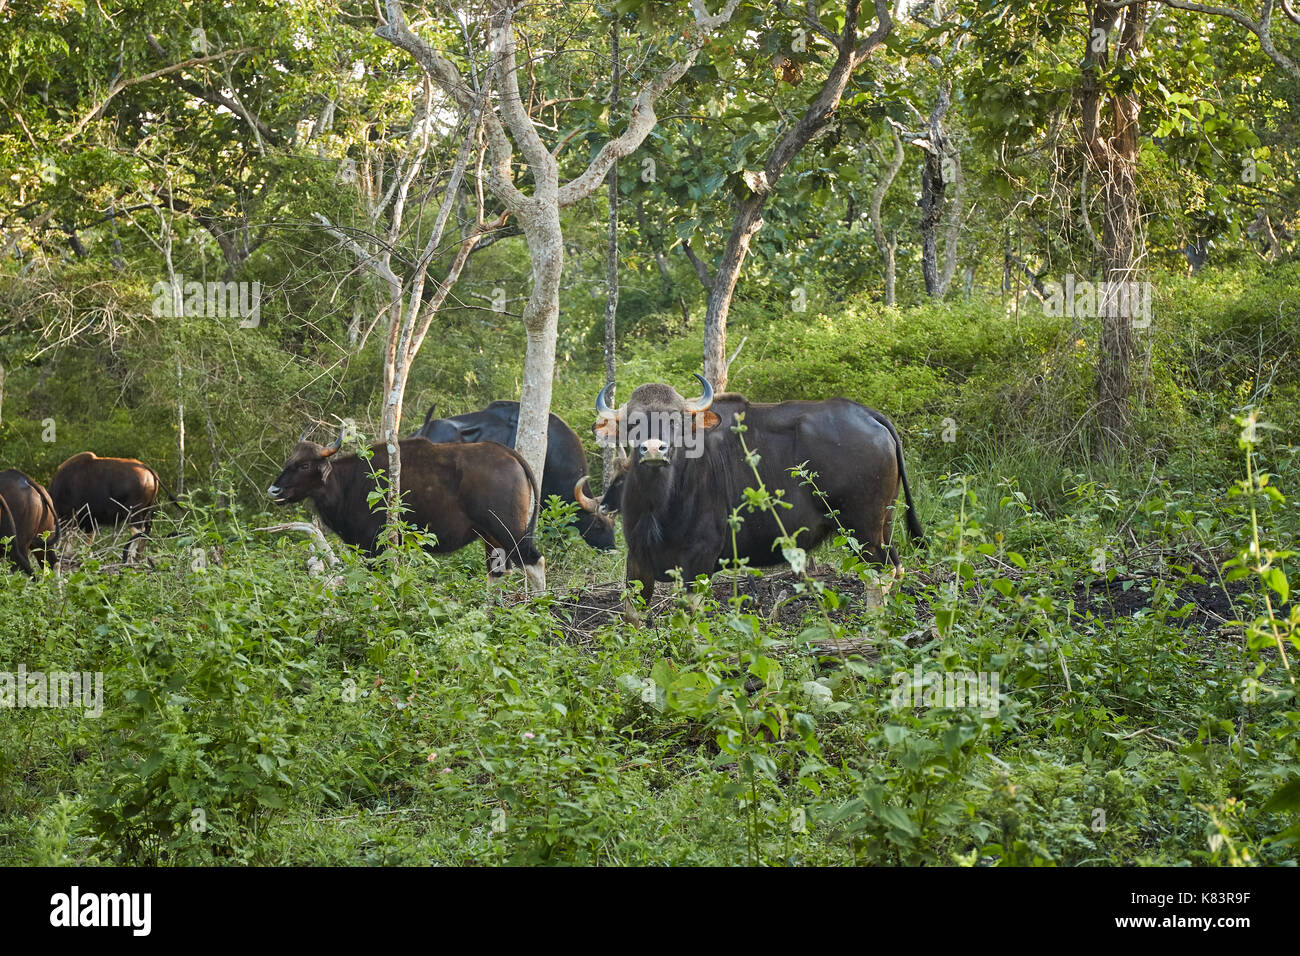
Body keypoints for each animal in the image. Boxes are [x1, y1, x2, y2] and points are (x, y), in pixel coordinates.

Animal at [268, 429, 546, 589]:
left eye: (304, 465)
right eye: (288, 462)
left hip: (508, 528)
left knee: (534, 562)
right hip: (490, 535)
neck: (348, 484)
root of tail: (508, 454)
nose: (274, 490)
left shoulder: (375, 545)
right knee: (497, 572)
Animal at [587, 376, 923, 604]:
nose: (655, 449)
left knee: (879, 573)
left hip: (862, 529)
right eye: (632, 423)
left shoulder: (699, 560)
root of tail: (866, 414)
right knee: (895, 565)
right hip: (883, 524)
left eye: (677, 422)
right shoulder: (637, 559)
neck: (660, 503)